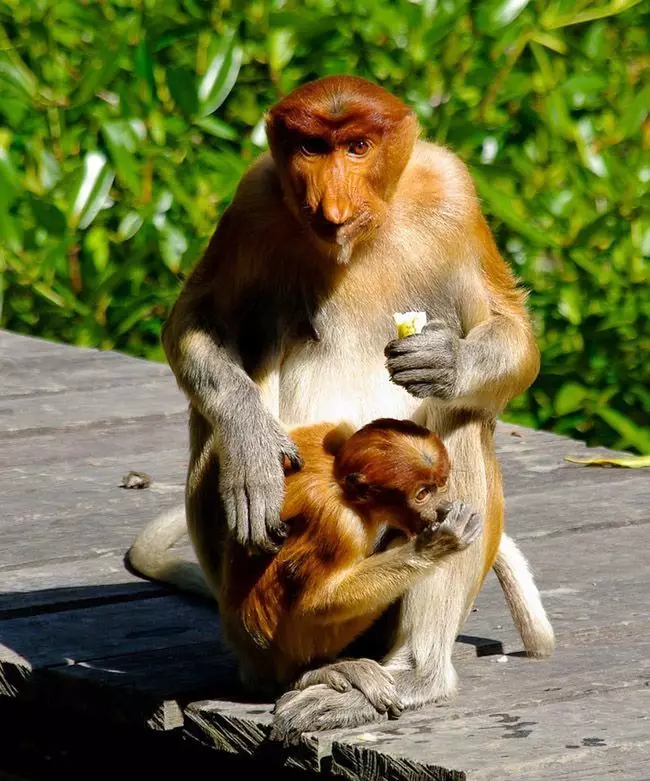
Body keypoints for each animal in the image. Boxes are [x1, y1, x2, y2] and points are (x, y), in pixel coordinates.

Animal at [129, 73, 556, 736]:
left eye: (357, 146)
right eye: (312, 147)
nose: (330, 204)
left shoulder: (454, 191)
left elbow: (511, 331)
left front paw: (444, 360)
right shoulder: (254, 199)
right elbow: (196, 322)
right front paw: (252, 449)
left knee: (460, 418)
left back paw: (413, 675)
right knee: (218, 419)